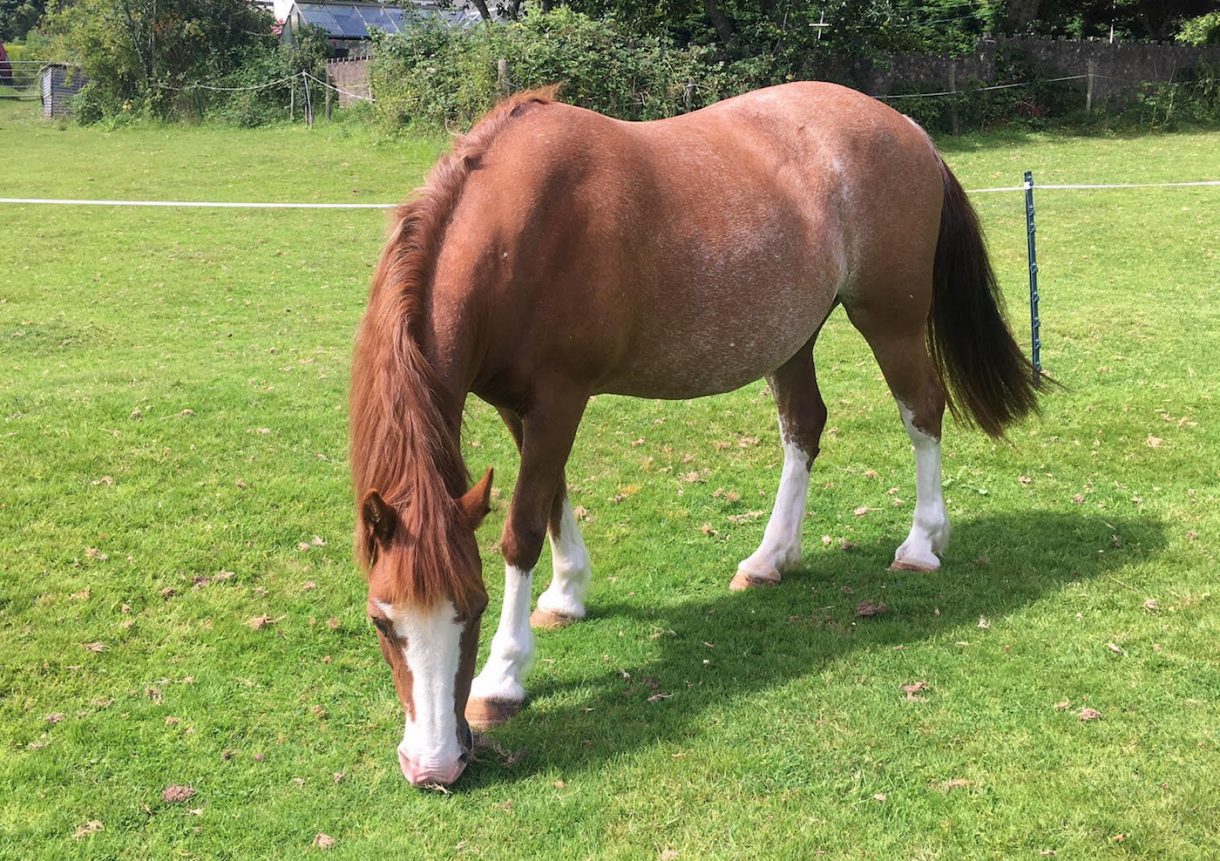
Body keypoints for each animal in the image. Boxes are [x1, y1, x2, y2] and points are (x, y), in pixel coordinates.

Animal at [349, 82, 1040, 787]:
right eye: (381, 621)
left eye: (475, 606)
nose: (433, 766)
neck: (516, 229)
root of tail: (908, 128)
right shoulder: (522, 407)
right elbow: (551, 499)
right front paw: (567, 595)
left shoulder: (559, 398)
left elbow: (521, 530)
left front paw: (502, 679)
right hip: (792, 334)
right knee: (804, 426)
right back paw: (769, 560)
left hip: (889, 317)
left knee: (921, 412)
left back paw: (921, 544)